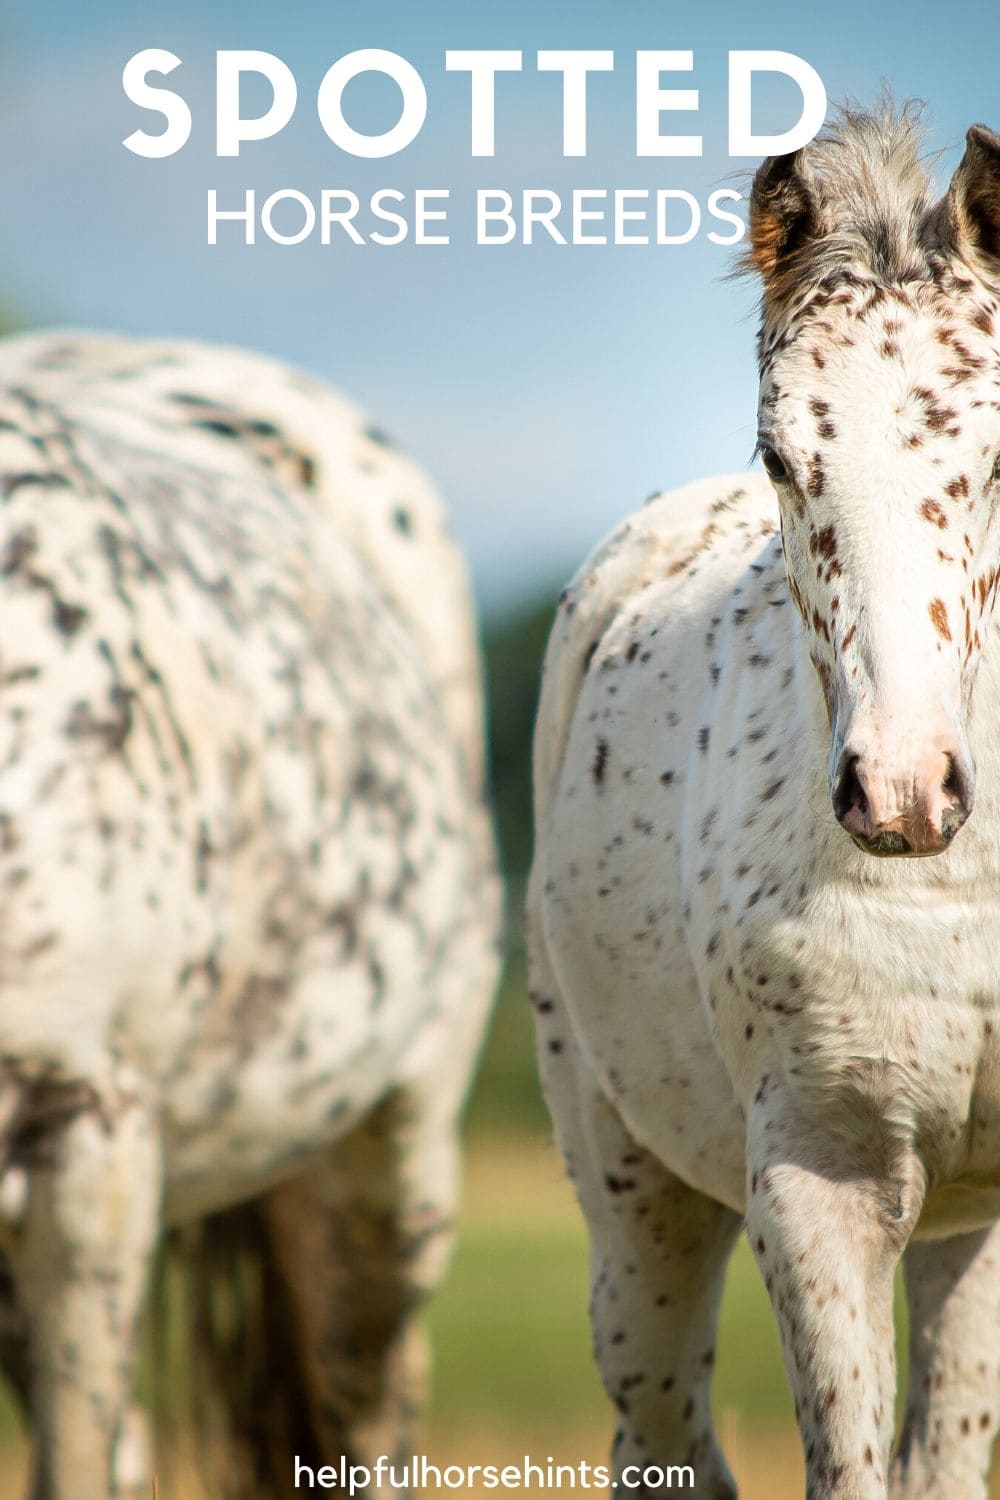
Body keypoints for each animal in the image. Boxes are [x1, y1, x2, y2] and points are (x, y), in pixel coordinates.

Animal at [528, 105, 1000, 1499]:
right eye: (783, 456)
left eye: (995, 454)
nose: (902, 790)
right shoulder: (814, 1183)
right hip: (634, 1199)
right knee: (662, 1429)